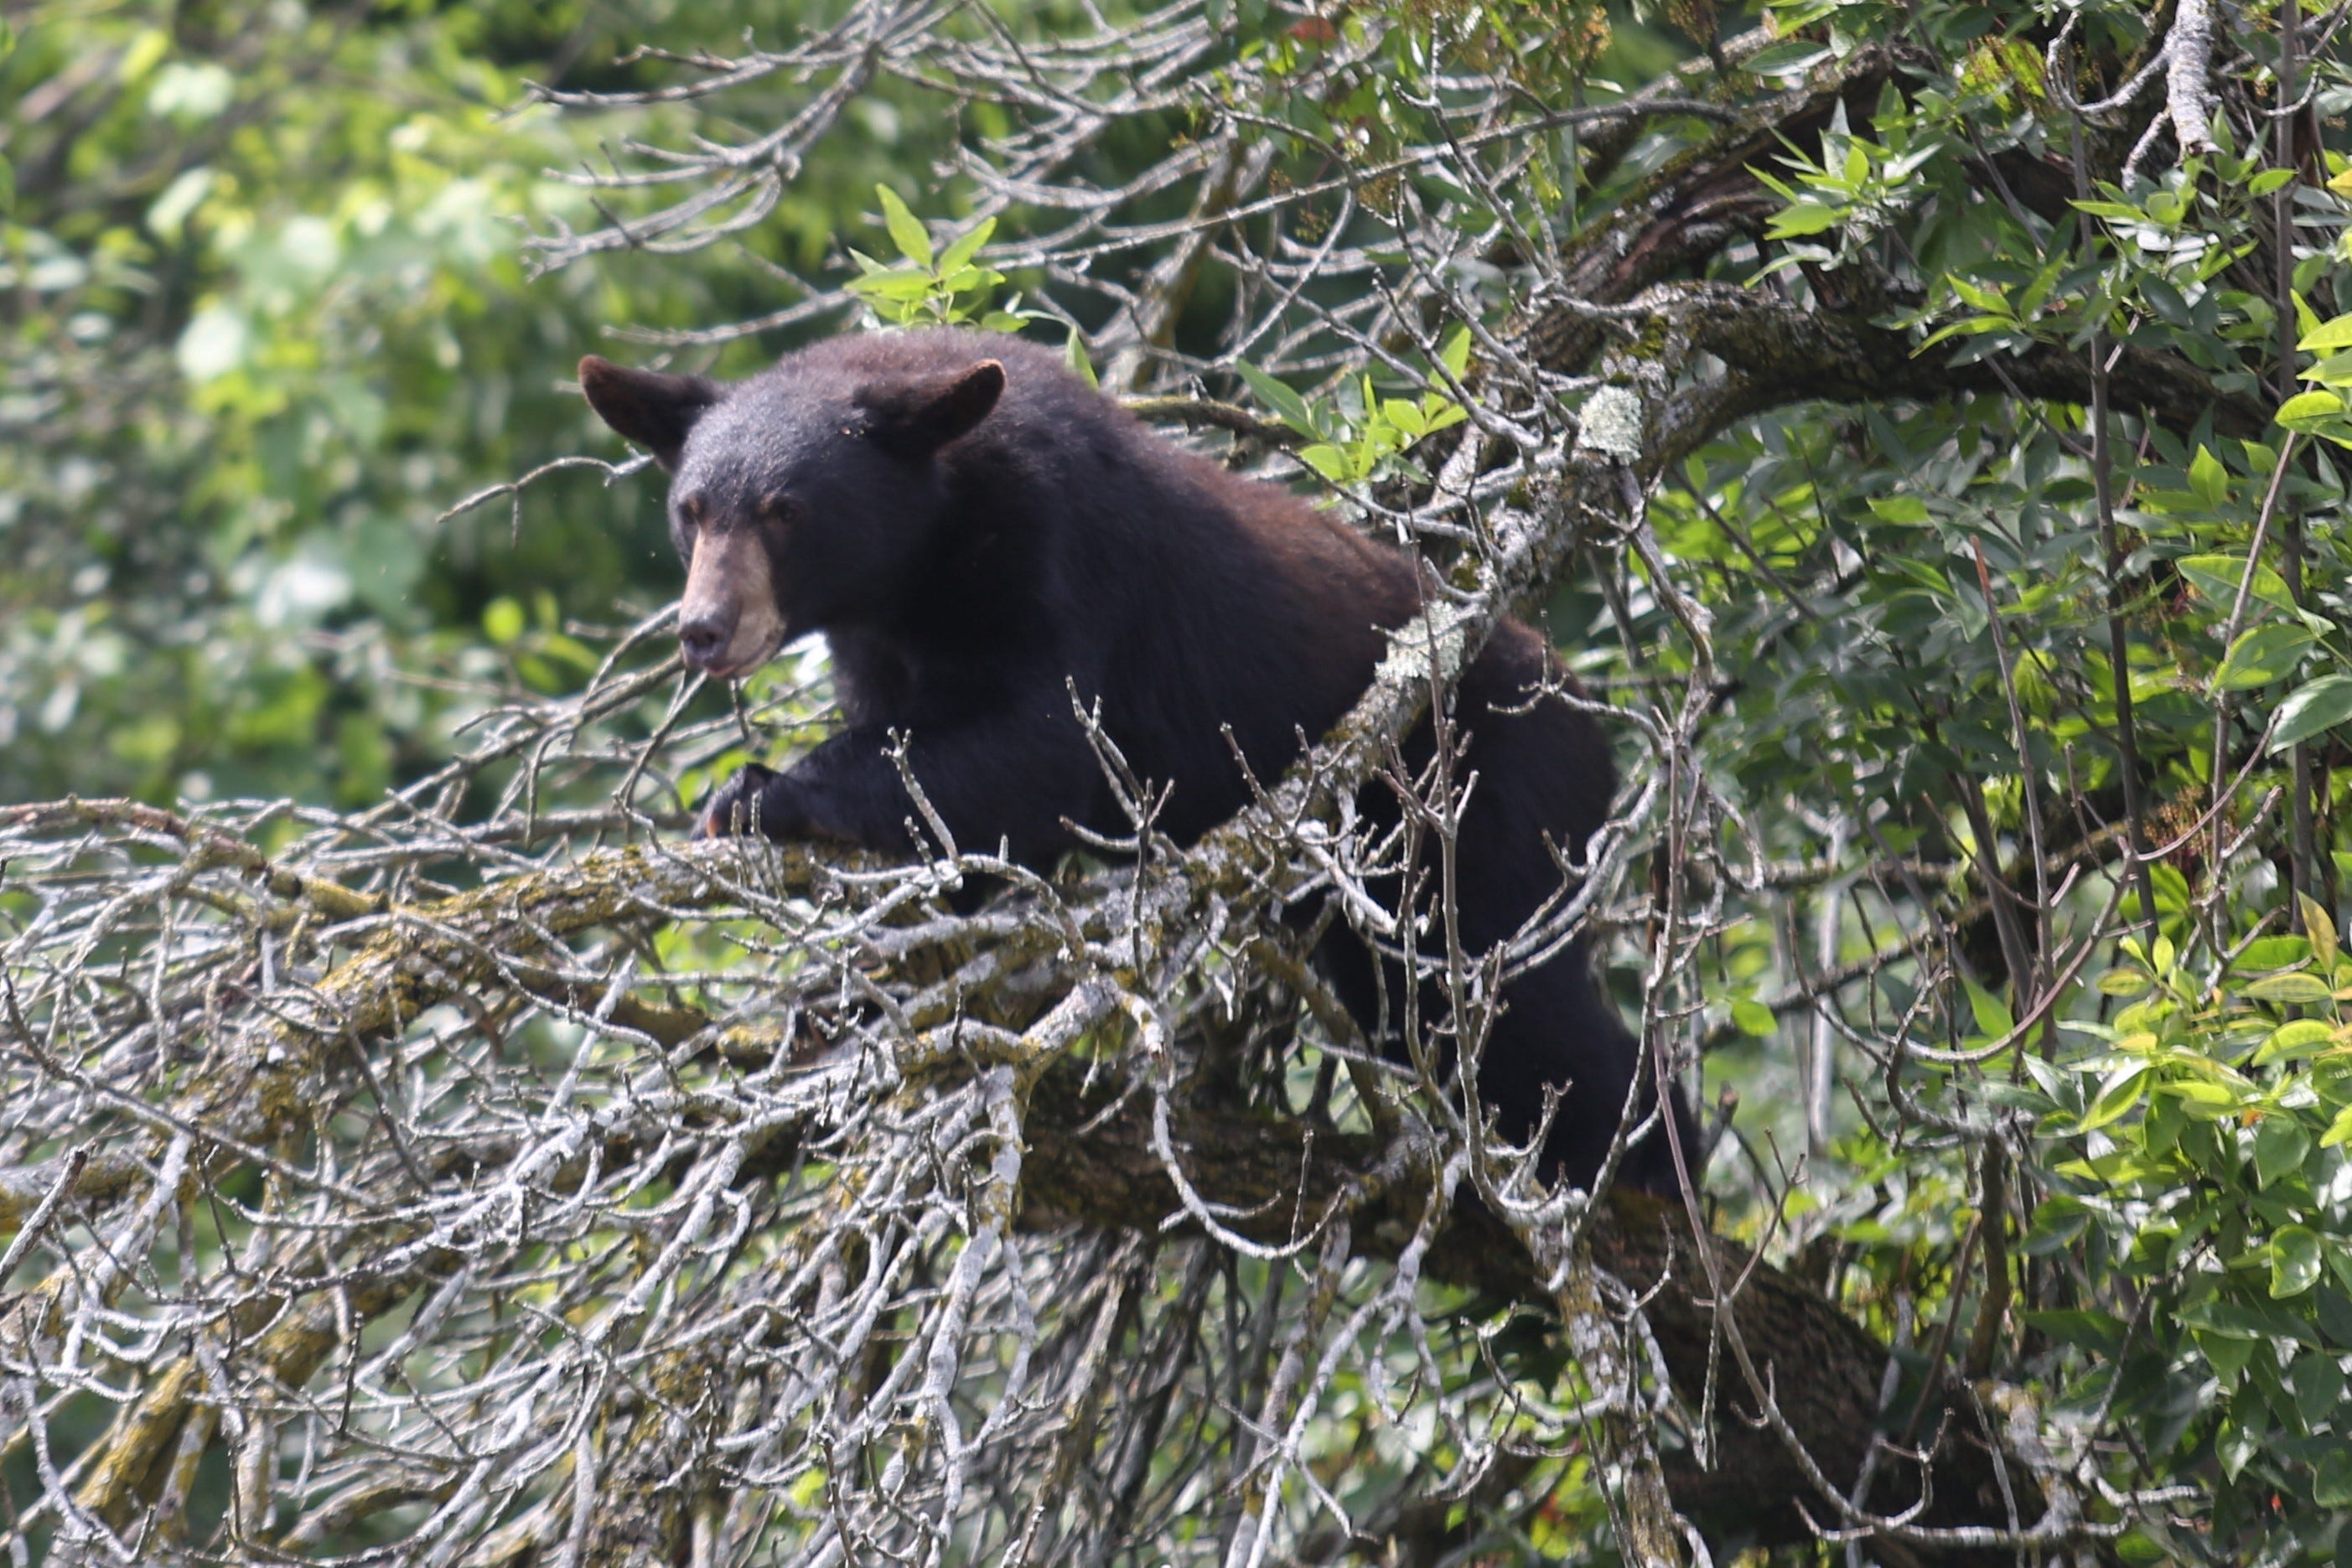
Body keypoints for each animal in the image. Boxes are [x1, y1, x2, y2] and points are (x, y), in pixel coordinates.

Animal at [580, 328, 1694, 1195]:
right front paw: (844, 996)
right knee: (1411, 999)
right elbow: (951, 849)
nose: (703, 629)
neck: (918, 565)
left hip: (1485, 788)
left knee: (1506, 995)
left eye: (786, 510)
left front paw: (759, 789)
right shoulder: (878, 646)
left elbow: (1039, 748)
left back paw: (1650, 1173)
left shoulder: (1058, 552)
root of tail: (1592, 716)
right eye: (691, 508)